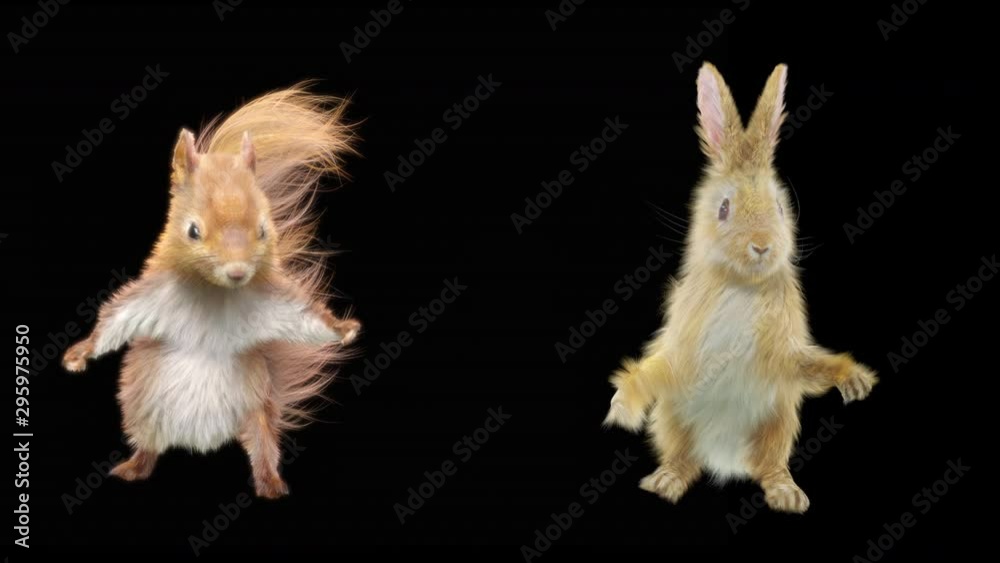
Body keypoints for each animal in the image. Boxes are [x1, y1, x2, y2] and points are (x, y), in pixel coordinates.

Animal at [62, 84, 361, 498]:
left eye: (264, 229)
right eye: (192, 231)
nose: (237, 271)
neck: (215, 293)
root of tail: (202, 438)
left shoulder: (269, 301)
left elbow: (304, 319)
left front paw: (343, 329)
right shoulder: (153, 296)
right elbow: (117, 318)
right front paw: (80, 353)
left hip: (256, 411)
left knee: (262, 448)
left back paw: (270, 483)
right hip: (142, 408)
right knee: (148, 445)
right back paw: (134, 467)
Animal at [603, 63, 878, 513]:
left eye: (780, 207)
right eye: (724, 208)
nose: (762, 245)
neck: (742, 285)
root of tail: (725, 458)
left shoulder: (784, 352)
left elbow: (807, 364)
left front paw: (853, 380)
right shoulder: (682, 349)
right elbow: (657, 369)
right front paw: (622, 407)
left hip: (777, 423)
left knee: (770, 464)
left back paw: (786, 494)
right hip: (676, 420)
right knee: (682, 457)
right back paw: (665, 482)